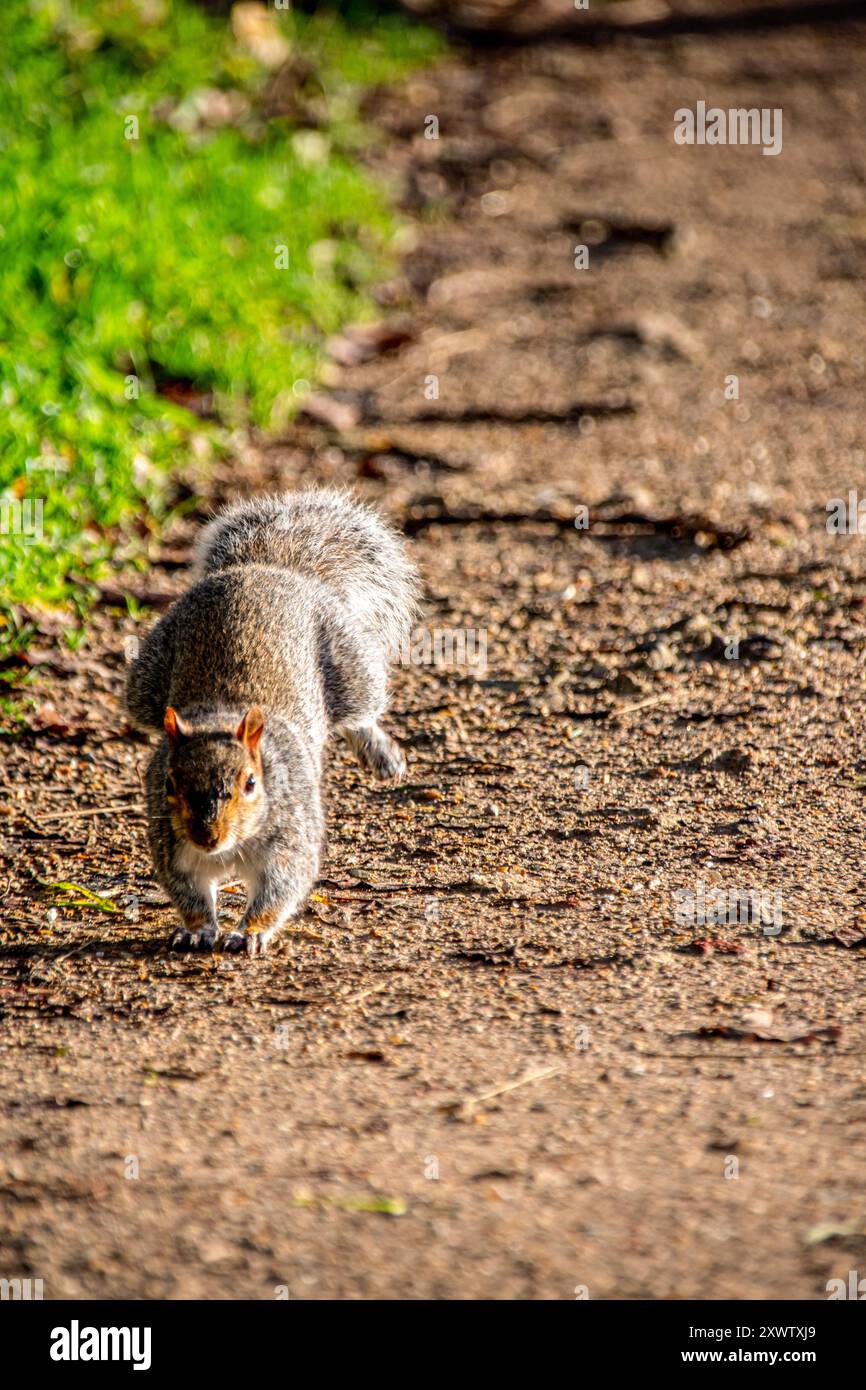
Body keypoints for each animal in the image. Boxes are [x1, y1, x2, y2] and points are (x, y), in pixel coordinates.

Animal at [125, 488, 419, 956]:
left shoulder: (290, 839)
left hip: (352, 665)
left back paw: (379, 750)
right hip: (145, 681)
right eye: (169, 782)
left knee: (361, 711)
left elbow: (281, 888)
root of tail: (269, 568)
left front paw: (251, 931)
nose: (207, 838)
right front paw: (197, 929)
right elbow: (188, 892)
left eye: (251, 782)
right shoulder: (171, 843)